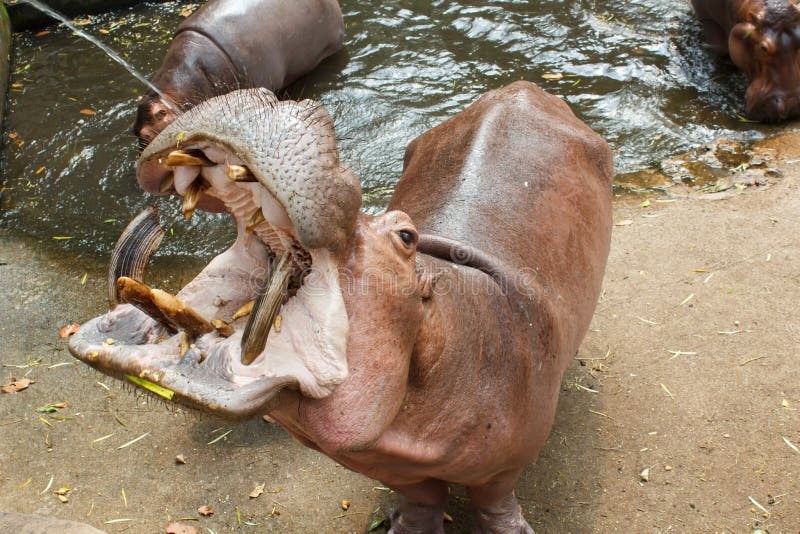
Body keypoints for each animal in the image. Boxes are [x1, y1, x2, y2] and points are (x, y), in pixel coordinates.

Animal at [69, 81, 612, 532]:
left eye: (406, 235)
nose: (271, 101)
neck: (443, 325)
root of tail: (525, 88)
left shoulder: (506, 464)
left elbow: (493, 501)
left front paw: (511, 530)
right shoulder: (386, 462)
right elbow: (421, 497)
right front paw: (406, 527)